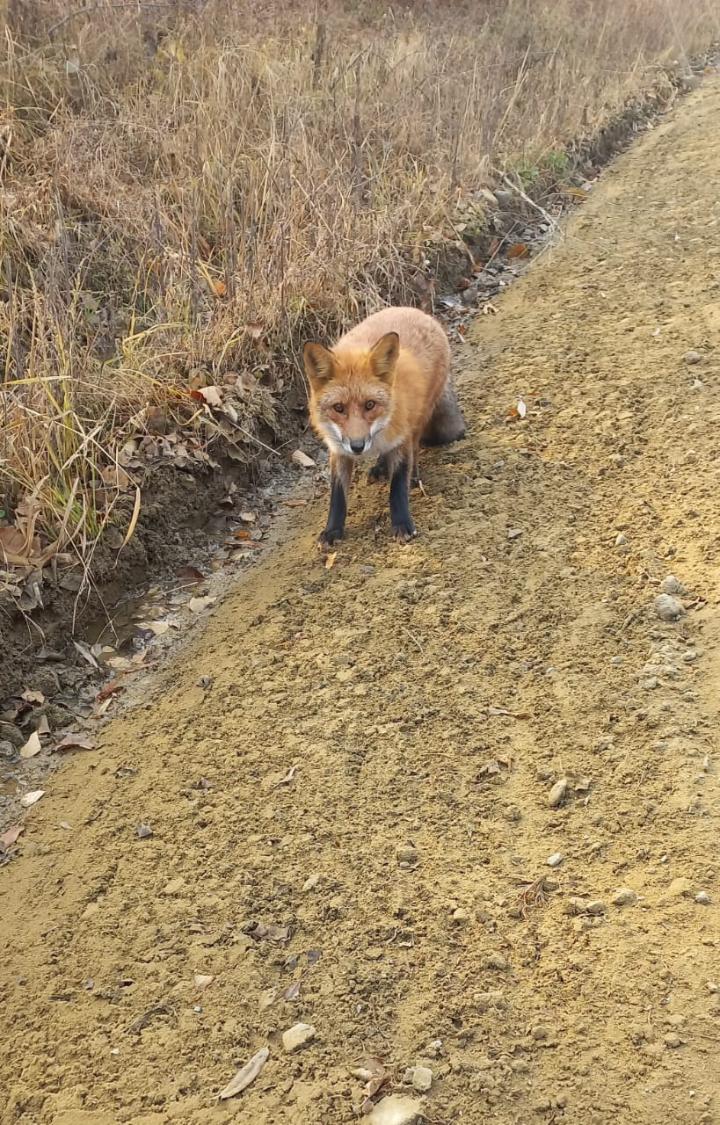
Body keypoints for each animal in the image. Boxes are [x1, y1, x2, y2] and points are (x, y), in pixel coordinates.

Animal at [301, 303, 461, 540]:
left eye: (370, 405)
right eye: (338, 408)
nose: (357, 447)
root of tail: (417, 310)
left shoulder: (401, 437)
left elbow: (398, 487)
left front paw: (402, 523)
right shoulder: (338, 449)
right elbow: (337, 495)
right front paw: (333, 530)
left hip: (420, 416)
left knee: (415, 448)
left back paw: (413, 477)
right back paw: (381, 466)